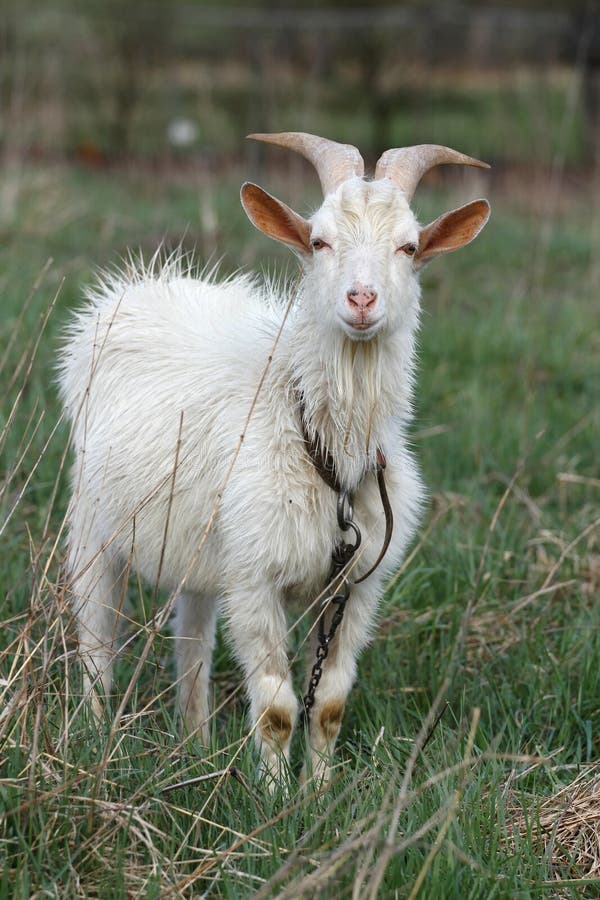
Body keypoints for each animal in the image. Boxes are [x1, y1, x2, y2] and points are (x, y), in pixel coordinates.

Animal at [59, 132, 490, 788]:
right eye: (319, 240)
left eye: (410, 245)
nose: (361, 299)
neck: (319, 442)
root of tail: (137, 287)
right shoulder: (255, 580)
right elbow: (279, 705)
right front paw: (274, 795)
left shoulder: (353, 588)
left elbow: (329, 701)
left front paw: (319, 790)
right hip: (93, 521)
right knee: (96, 640)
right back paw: (90, 735)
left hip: (205, 552)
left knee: (192, 644)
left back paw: (195, 743)